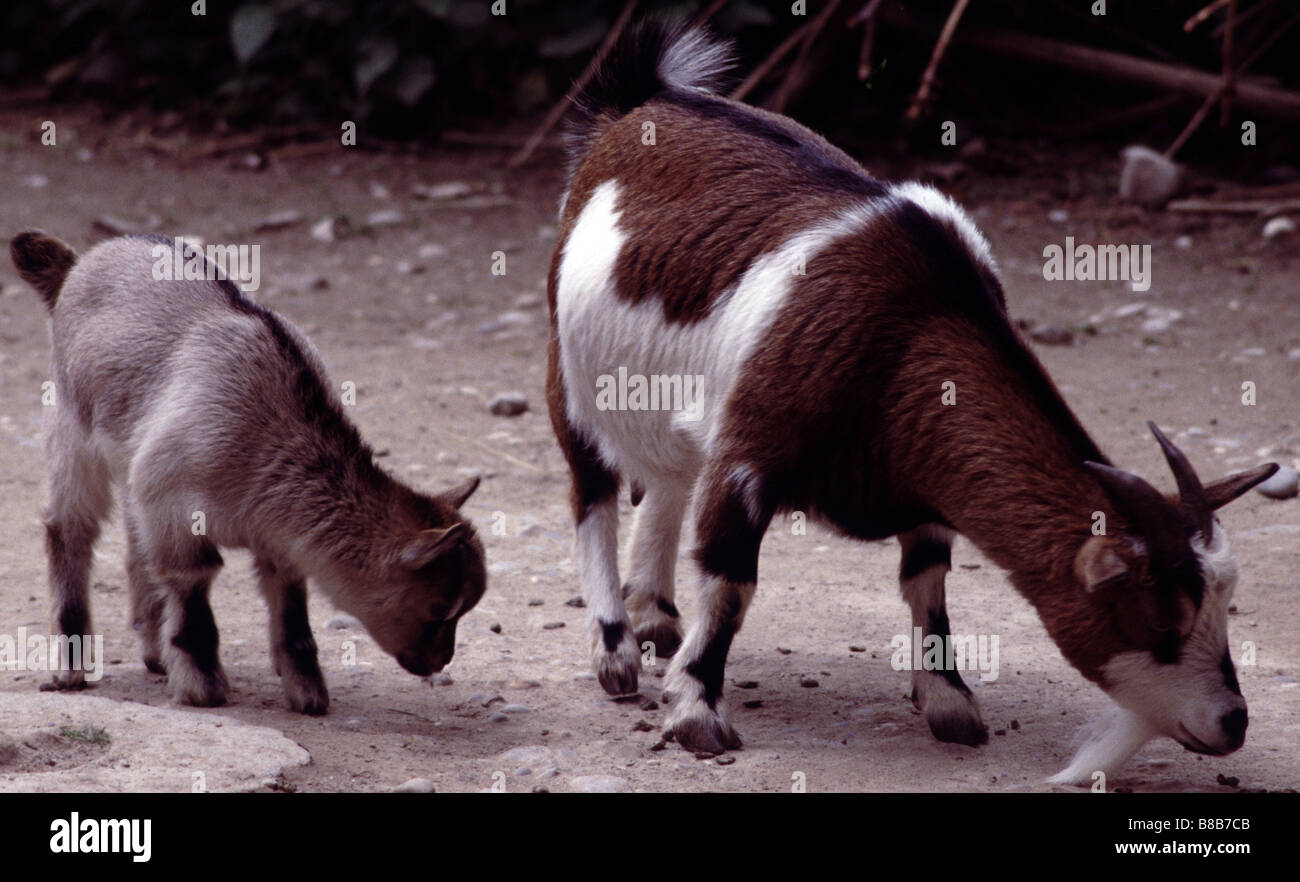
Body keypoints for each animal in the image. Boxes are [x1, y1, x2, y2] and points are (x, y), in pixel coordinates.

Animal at [11, 231, 486, 714]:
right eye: (440, 608)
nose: (438, 661)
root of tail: (77, 264)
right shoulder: (175, 510)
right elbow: (192, 586)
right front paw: (202, 687)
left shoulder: (270, 535)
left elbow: (289, 600)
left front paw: (307, 691)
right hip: (72, 429)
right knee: (70, 531)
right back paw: (72, 667)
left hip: (132, 465)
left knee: (133, 545)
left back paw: (153, 652)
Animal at [545, 22, 1278, 781]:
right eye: (1160, 619)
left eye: (1225, 606)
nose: (1232, 721)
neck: (911, 327)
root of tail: (643, 97)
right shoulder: (750, 454)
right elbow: (729, 582)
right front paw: (697, 712)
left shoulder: (918, 480)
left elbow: (927, 581)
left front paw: (950, 701)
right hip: (570, 371)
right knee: (592, 490)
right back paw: (616, 649)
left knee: (666, 476)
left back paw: (656, 616)